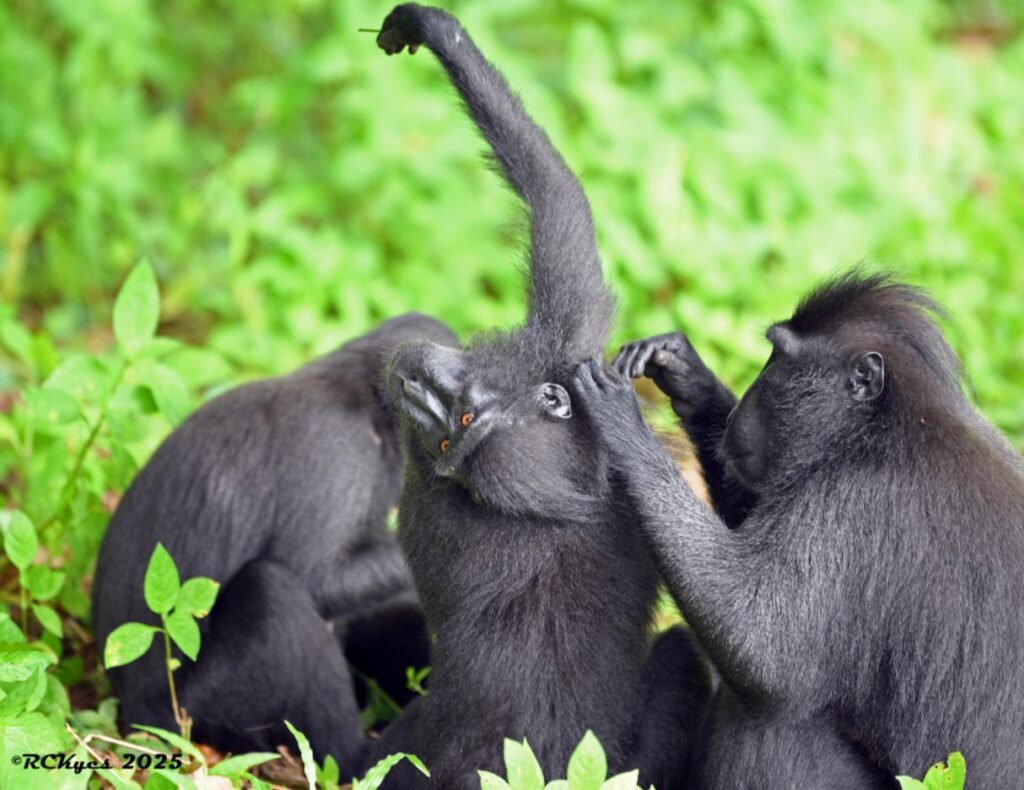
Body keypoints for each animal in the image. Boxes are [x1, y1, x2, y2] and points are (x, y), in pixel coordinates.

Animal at [572, 271, 1024, 788]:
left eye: (779, 359)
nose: (740, 409)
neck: (884, 424)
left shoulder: (854, 502)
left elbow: (763, 649)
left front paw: (621, 421)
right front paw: (687, 374)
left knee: (776, 721)